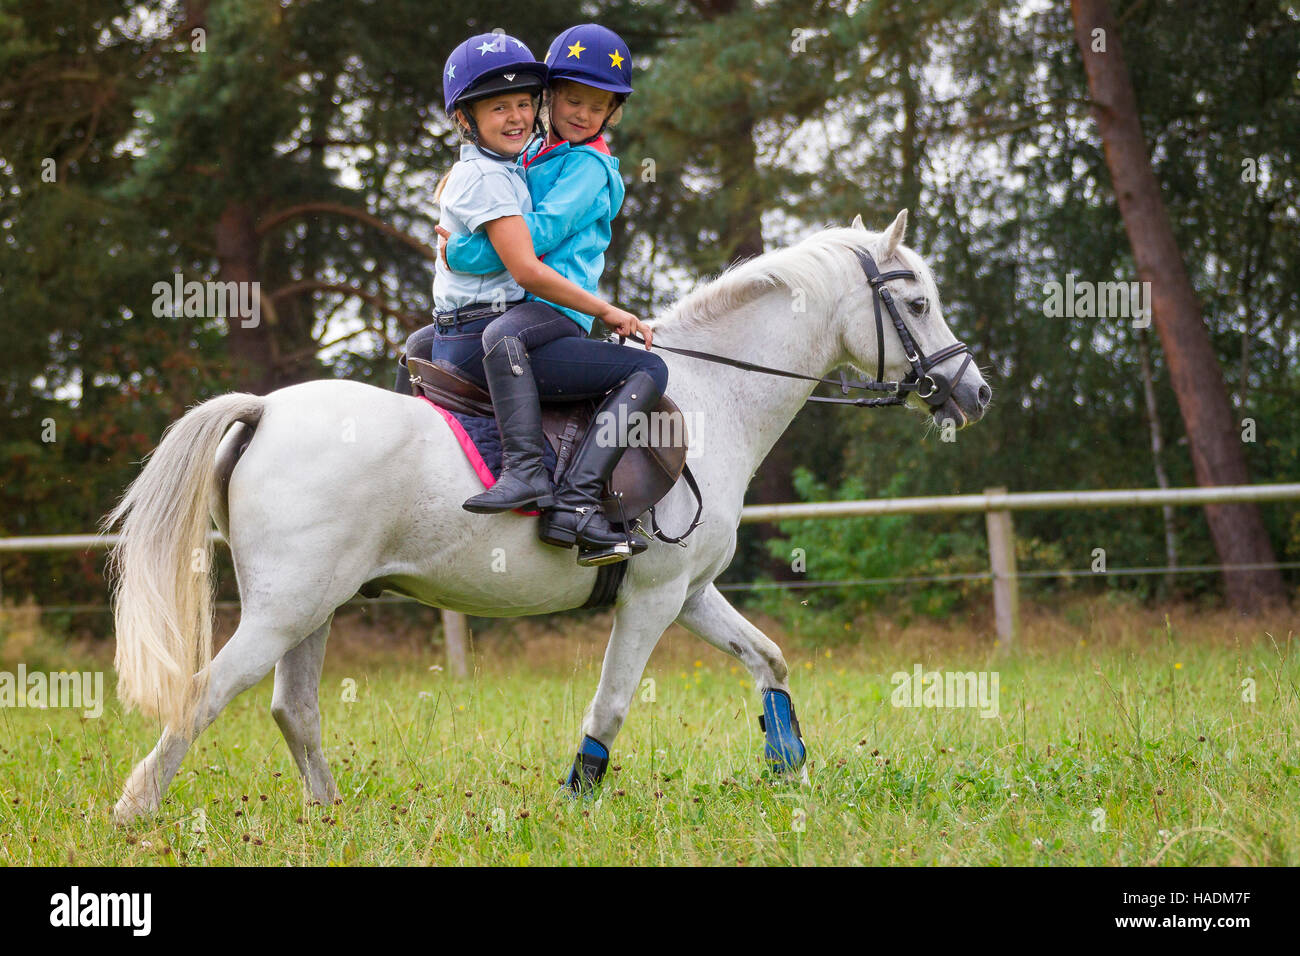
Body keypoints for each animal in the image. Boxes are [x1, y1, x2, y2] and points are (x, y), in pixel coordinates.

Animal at [106, 210, 991, 824]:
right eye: (917, 302)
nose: (974, 393)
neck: (715, 396)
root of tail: (264, 410)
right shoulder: (653, 597)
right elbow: (612, 703)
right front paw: (577, 800)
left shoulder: (691, 592)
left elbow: (768, 659)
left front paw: (790, 769)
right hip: (285, 608)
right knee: (204, 695)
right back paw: (134, 812)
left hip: (311, 608)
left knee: (293, 708)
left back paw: (327, 818)